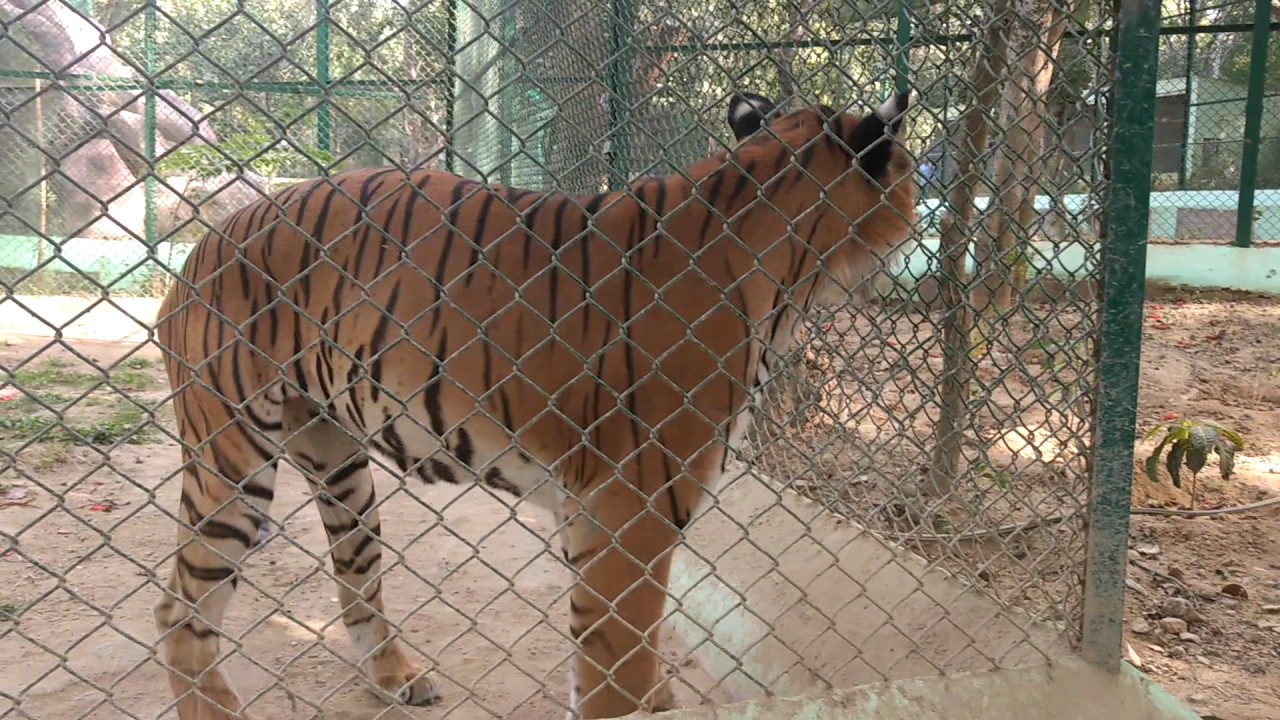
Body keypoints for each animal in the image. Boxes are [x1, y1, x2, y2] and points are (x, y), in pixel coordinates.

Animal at [152, 86, 917, 720]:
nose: (915, 210)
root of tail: (202, 245)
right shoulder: (632, 511)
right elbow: (615, 675)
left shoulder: (595, 514)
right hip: (234, 456)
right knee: (179, 612)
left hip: (339, 463)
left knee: (355, 579)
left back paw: (401, 678)